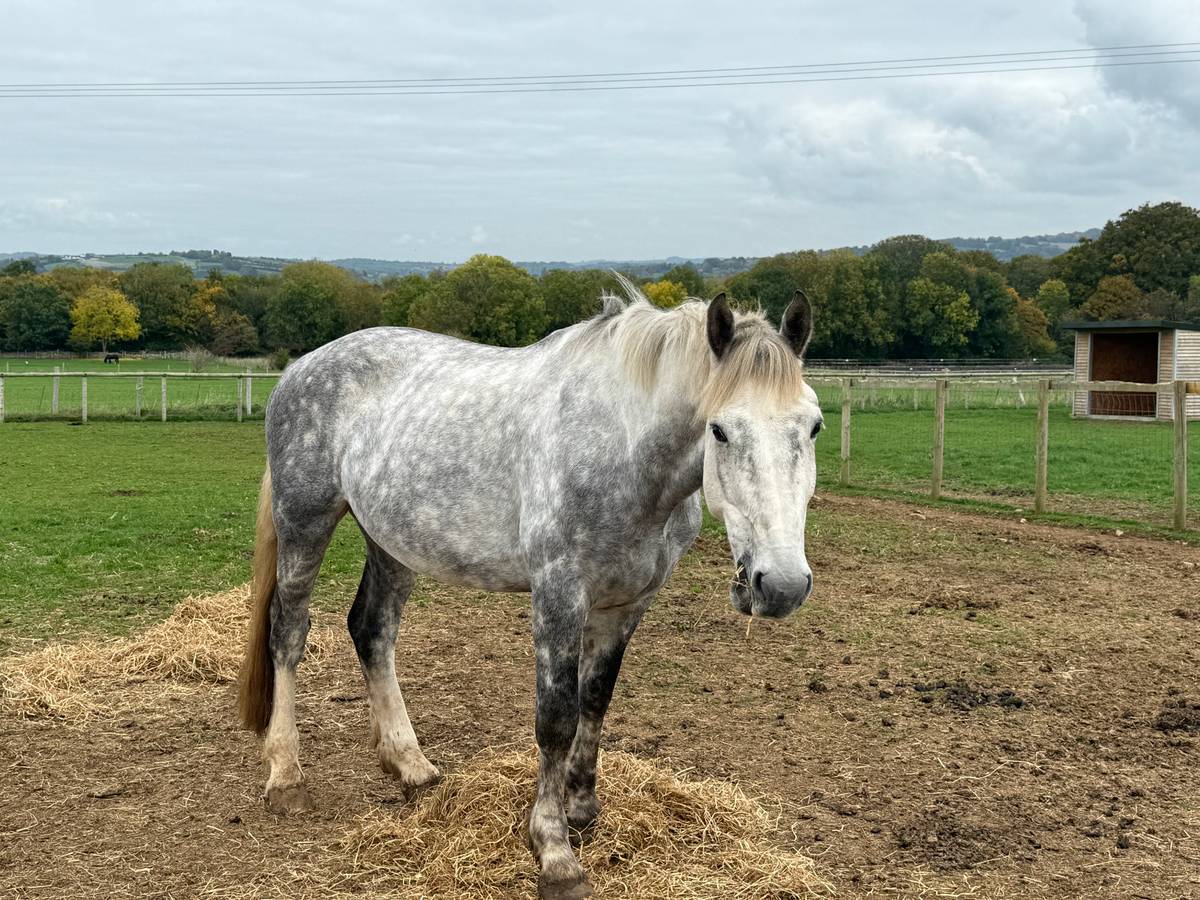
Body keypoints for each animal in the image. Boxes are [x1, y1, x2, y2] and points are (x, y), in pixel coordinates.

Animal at [237, 282, 822, 899]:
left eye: (813, 426)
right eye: (720, 429)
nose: (782, 585)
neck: (621, 448)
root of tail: (301, 367)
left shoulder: (625, 605)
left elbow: (595, 700)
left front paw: (582, 809)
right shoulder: (558, 595)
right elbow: (556, 718)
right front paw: (554, 850)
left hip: (391, 544)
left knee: (372, 631)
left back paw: (410, 764)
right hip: (305, 524)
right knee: (288, 634)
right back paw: (285, 775)